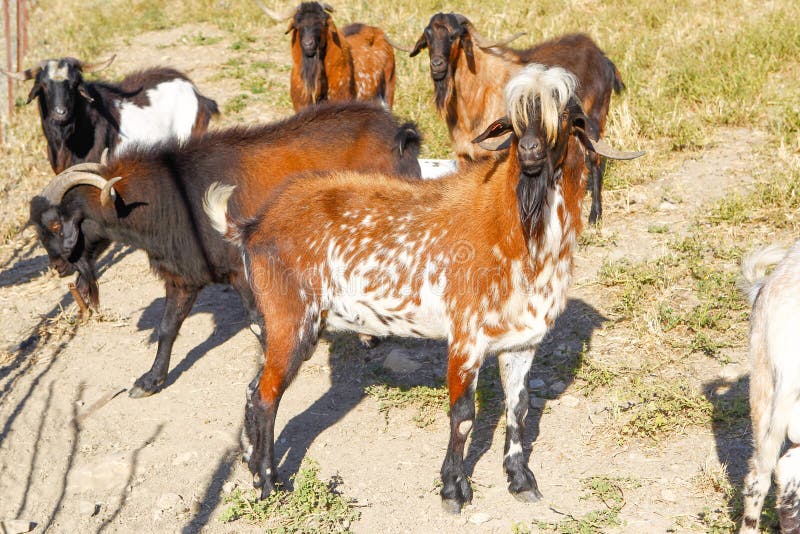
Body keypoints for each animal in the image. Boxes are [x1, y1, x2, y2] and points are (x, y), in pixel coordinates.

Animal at [29, 101, 421, 398]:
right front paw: (150, 381)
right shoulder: (184, 275)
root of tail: (399, 133)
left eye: (56, 224)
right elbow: (168, 327)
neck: (171, 194)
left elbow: (259, 323)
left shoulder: (241, 271)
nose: (57, 267)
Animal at [205, 64, 642, 511]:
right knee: (265, 397)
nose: (531, 151)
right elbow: (462, 416)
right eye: (515, 121)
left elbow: (518, 410)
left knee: (252, 390)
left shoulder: (523, 341)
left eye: (567, 118)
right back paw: (268, 485)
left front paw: (521, 481)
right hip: (291, 320)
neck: (514, 226)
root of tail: (254, 225)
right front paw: (454, 488)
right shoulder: (466, 337)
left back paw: (253, 465)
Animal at [404, 13, 626, 224]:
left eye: (454, 35)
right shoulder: (464, 154)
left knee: (595, 160)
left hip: (594, 120)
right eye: (427, 37)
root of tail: (603, 59)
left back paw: (595, 216)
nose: (437, 65)